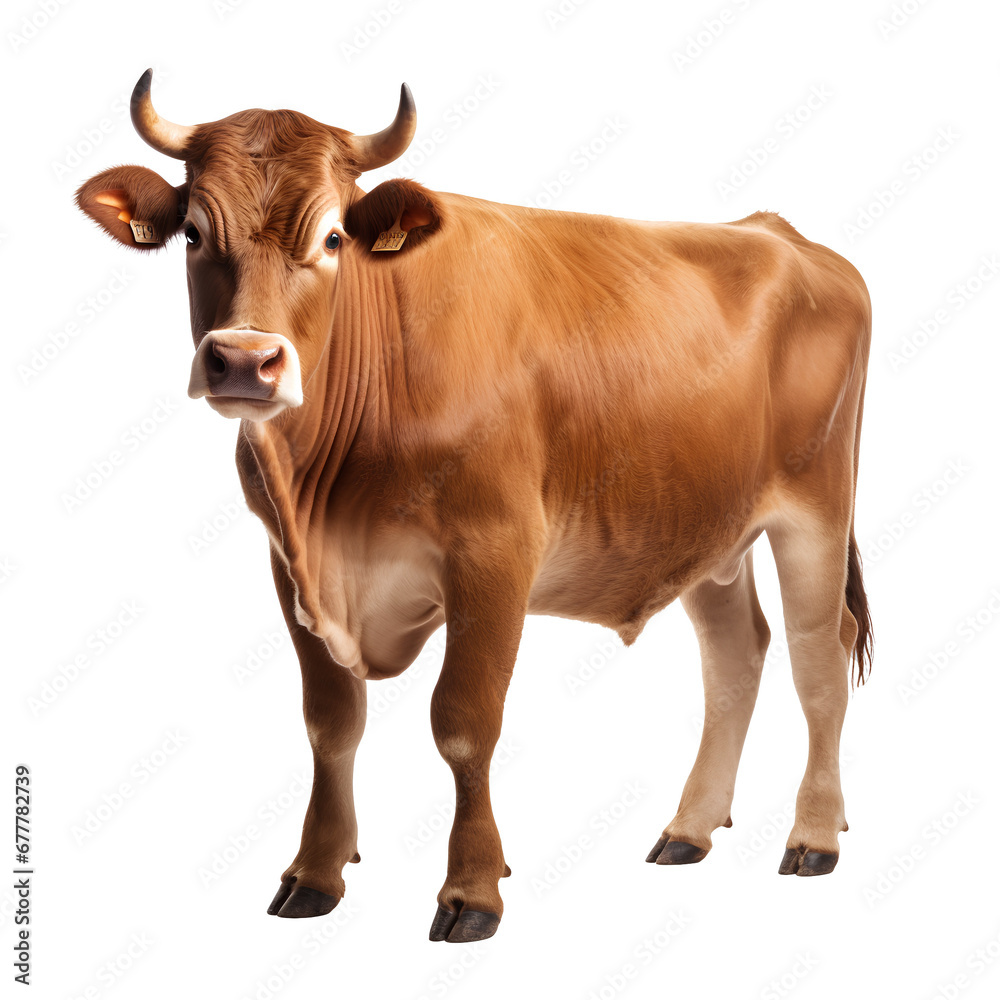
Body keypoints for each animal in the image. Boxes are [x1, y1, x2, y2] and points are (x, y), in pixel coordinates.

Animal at [76, 70, 873, 943]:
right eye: (191, 233)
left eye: (332, 238)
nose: (246, 362)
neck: (326, 496)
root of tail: (786, 236)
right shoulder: (290, 564)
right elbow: (331, 720)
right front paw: (315, 873)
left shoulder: (495, 551)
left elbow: (463, 722)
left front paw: (471, 889)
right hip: (704, 521)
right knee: (736, 654)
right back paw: (688, 830)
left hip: (816, 509)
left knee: (819, 654)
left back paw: (814, 836)